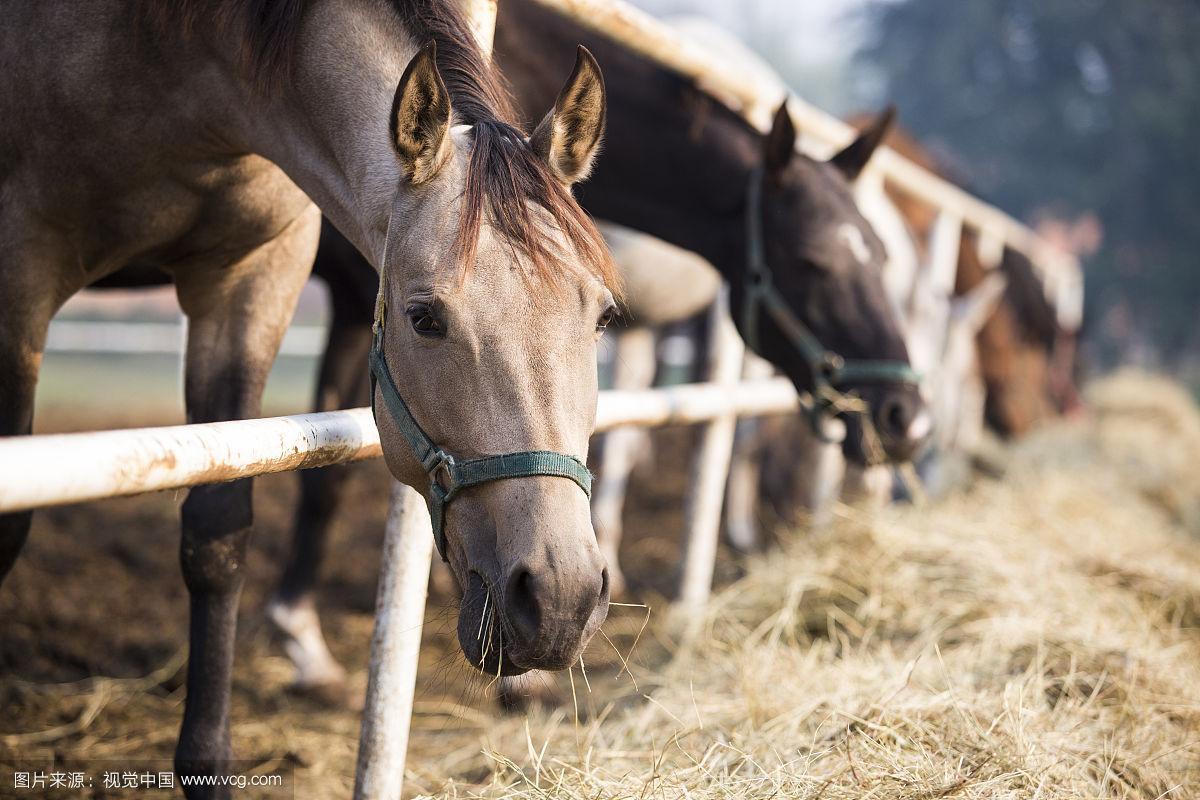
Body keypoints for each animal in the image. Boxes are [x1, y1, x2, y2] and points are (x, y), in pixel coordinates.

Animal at [0, 1, 620, 792]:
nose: (561, 600)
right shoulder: (20, 267)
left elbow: (218, 526)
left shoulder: (255, 274)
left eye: (601, 318)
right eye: (424, 317)